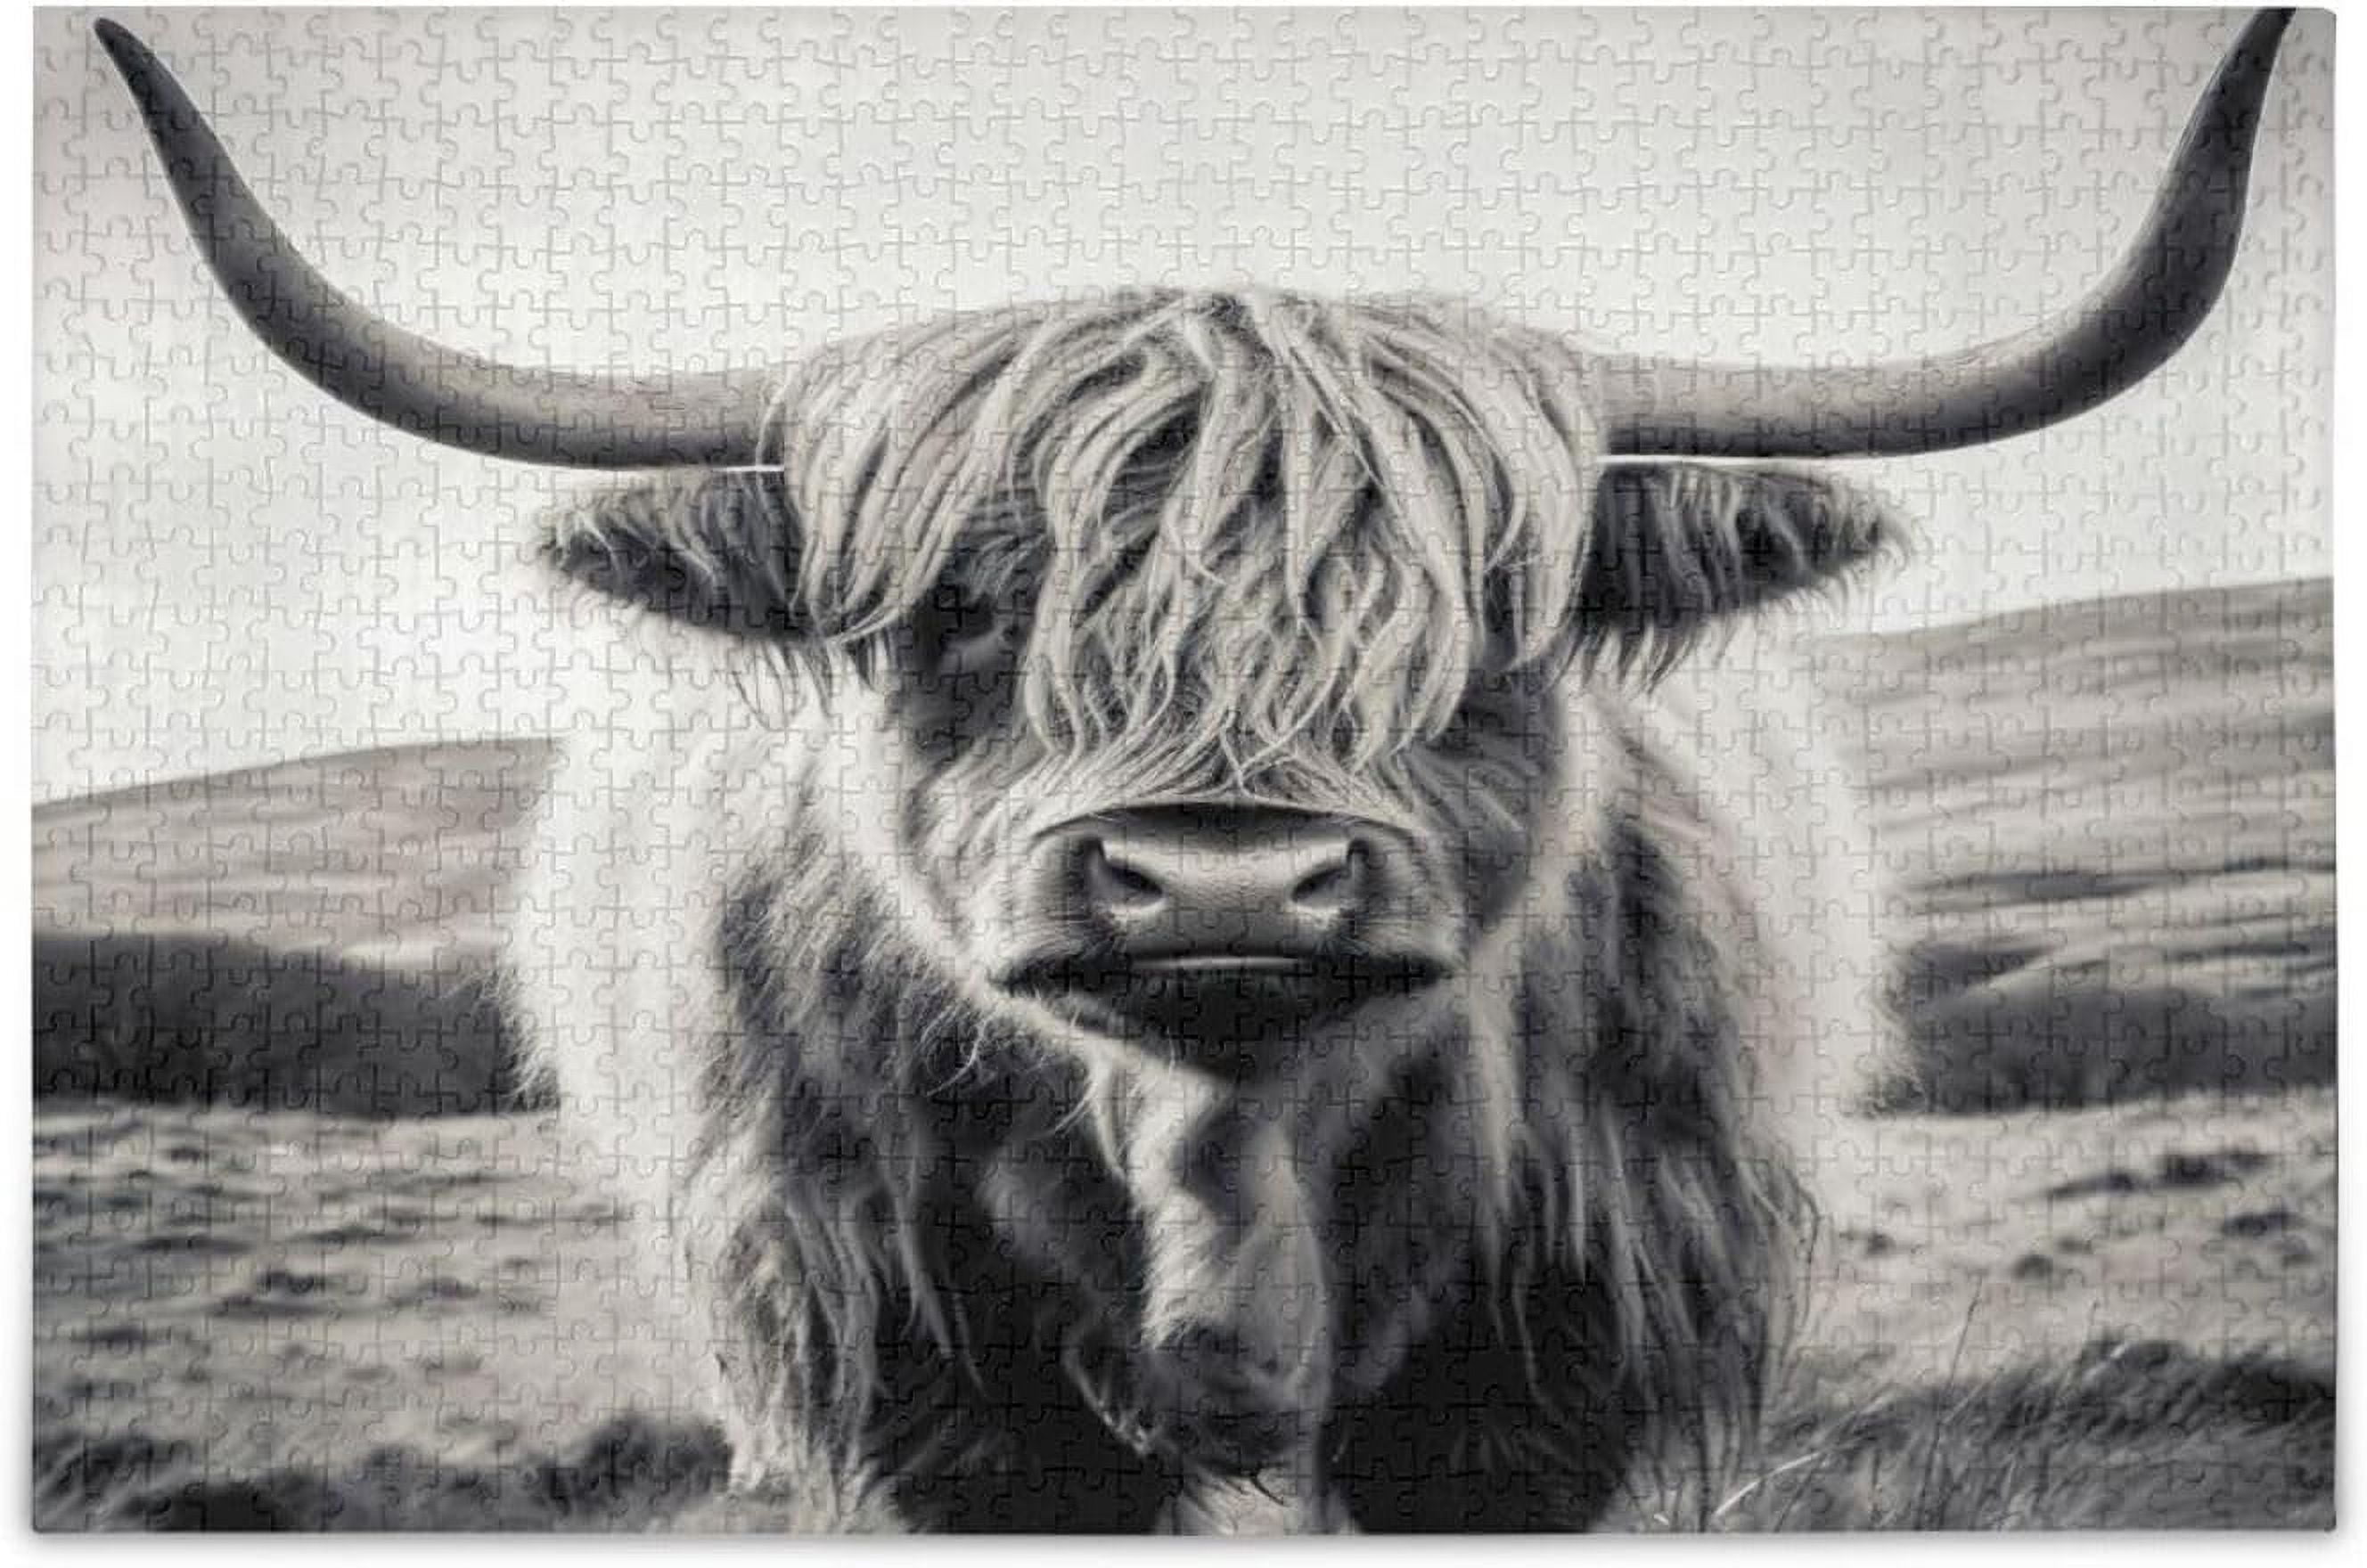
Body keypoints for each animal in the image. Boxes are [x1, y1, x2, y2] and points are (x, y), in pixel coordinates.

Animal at [95, 11, 2292, 1532]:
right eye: (969, 609)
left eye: (1479, 624)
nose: (1223, 885)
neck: (1221, 1147)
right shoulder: (940, 1385)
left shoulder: (1540, 1370)